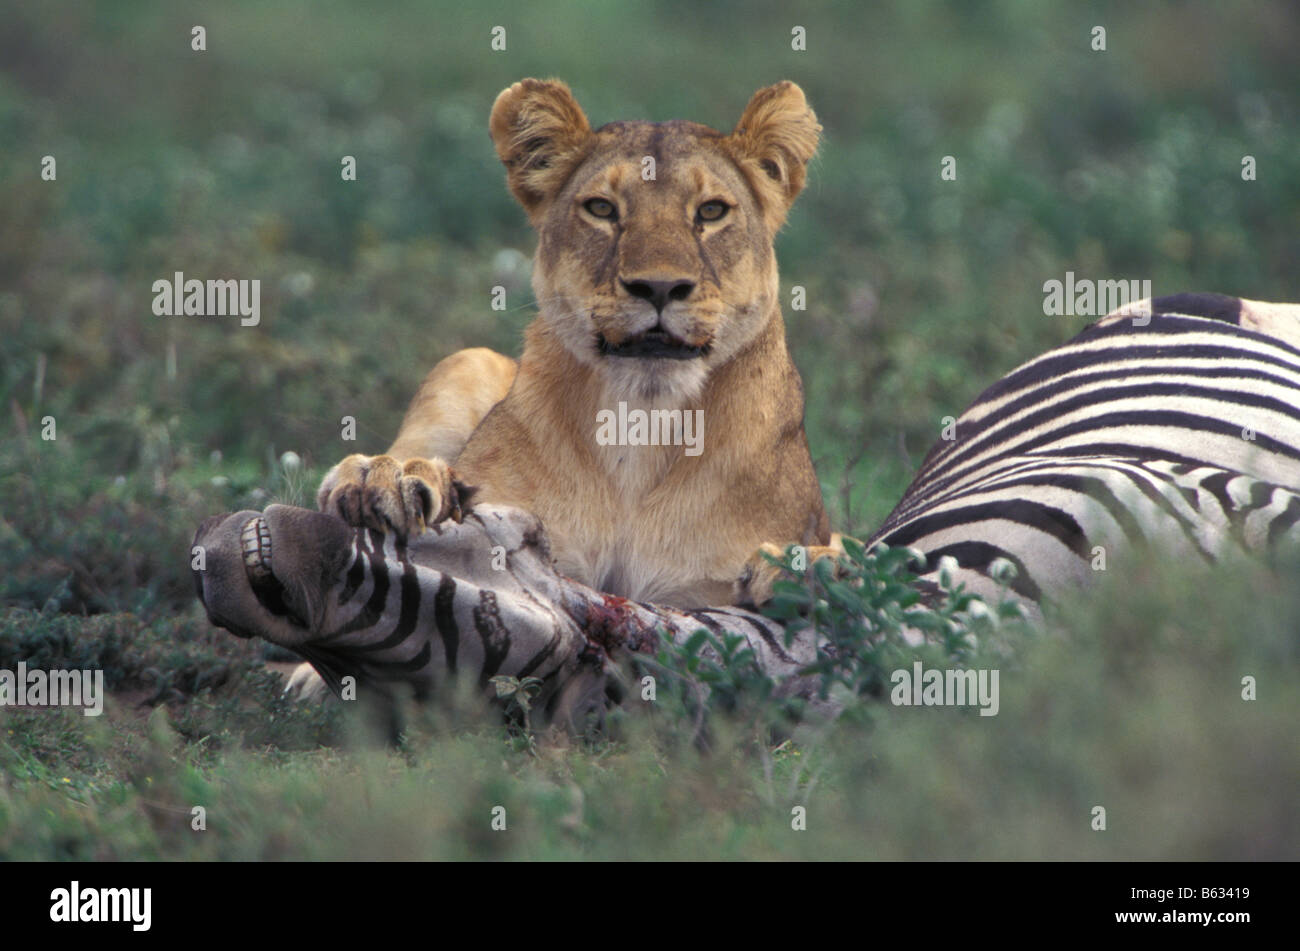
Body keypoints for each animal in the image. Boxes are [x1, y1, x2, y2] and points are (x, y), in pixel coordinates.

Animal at [316, 78, 832, 613]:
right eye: (602, 209)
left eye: (711, 211)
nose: (659, 287)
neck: (643, 419)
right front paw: (391, 478)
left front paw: (813, 566)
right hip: (465, 362)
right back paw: (385, 479)